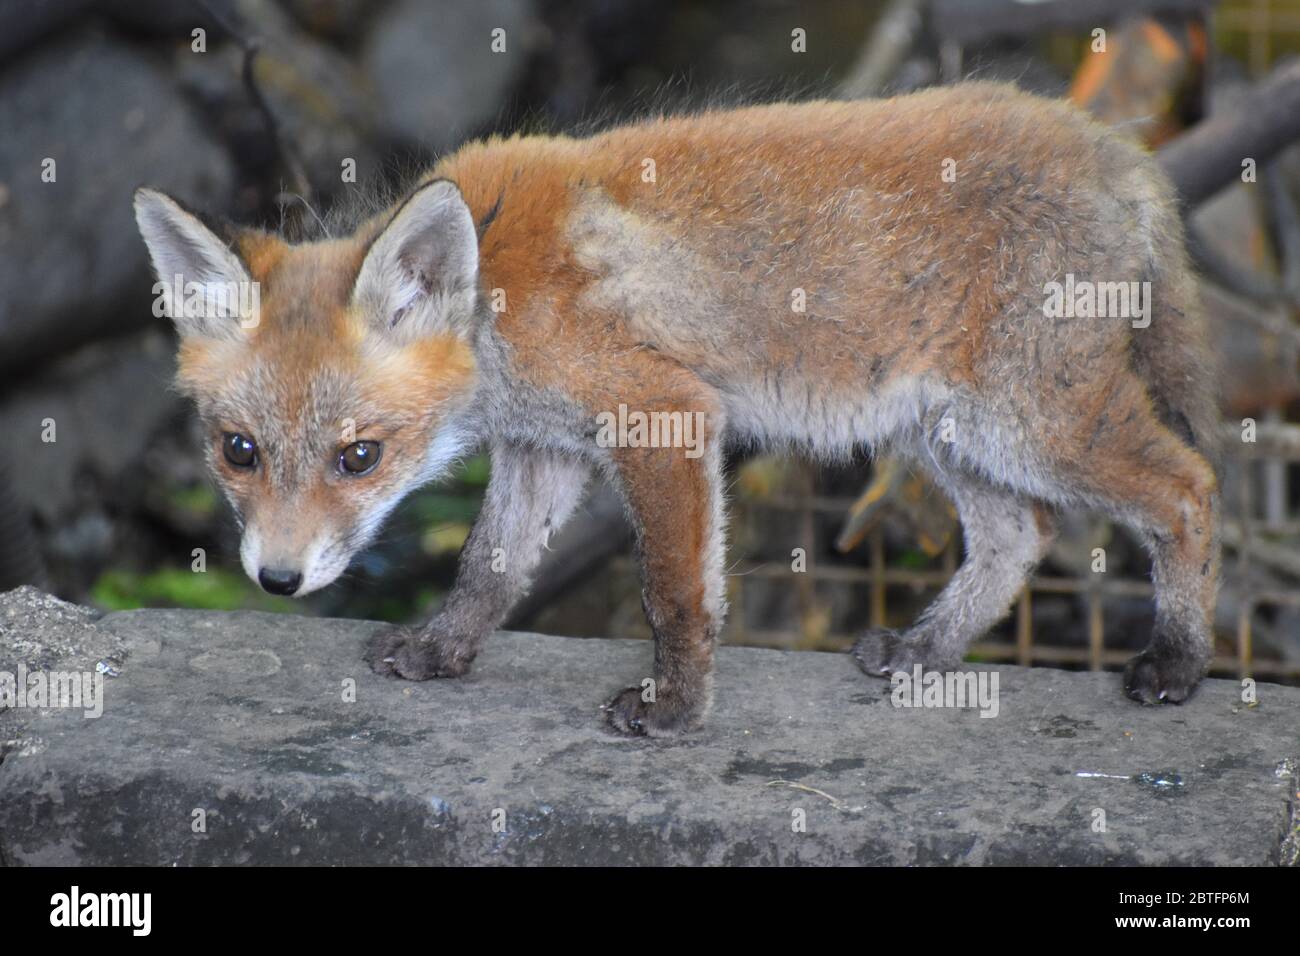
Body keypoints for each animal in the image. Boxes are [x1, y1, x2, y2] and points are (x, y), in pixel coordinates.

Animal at [134, 82, 1220, 736]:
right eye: (238, 450)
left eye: (359, 457)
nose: (276, 579)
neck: (498, 302)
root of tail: (1112, 148)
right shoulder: (543, 446)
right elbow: (490, 566)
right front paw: (443, 651)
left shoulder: (664, 413)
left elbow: (675, 590)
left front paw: (677, 707)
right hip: (945, 431)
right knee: (1020, 532)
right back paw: (926, 648)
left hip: (1032, 422)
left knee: (1189, 488)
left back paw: (1178, 660)